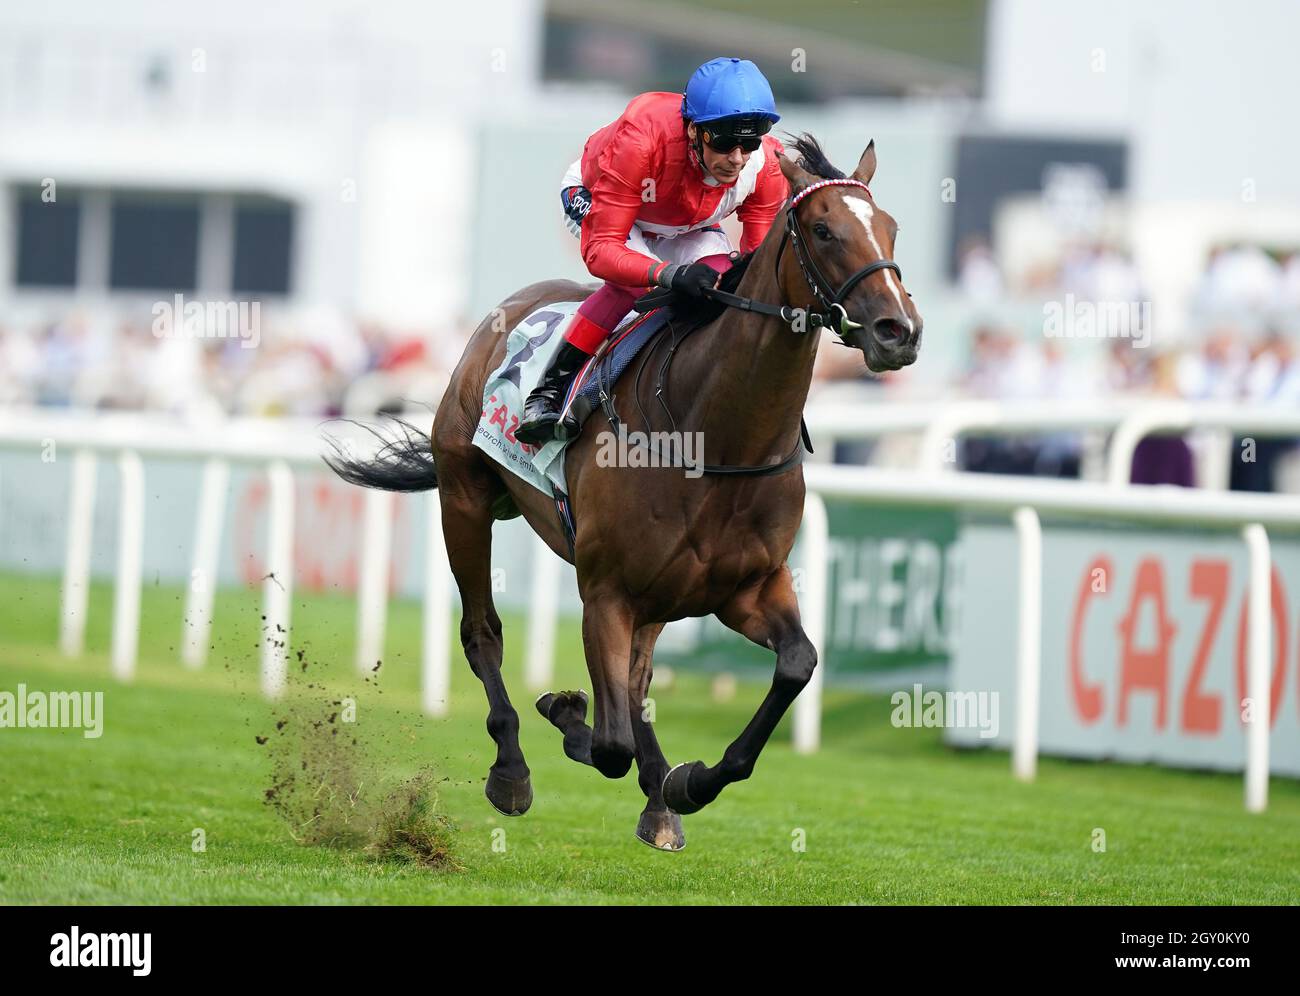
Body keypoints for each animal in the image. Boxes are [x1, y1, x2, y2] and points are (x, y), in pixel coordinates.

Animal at [325, 134, 922, 850]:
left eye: (890, 228)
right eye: (825, 231)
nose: (898, 331)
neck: (718, 438)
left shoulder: (748, 587)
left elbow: (796, 664)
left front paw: (687, 783)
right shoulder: (606, 590)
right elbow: (609, 742)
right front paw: (568, 713)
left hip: (658, 595)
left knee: (637, 679)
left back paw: (658, 798)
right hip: (464, 500)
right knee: (483, 633)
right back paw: (513, 769)